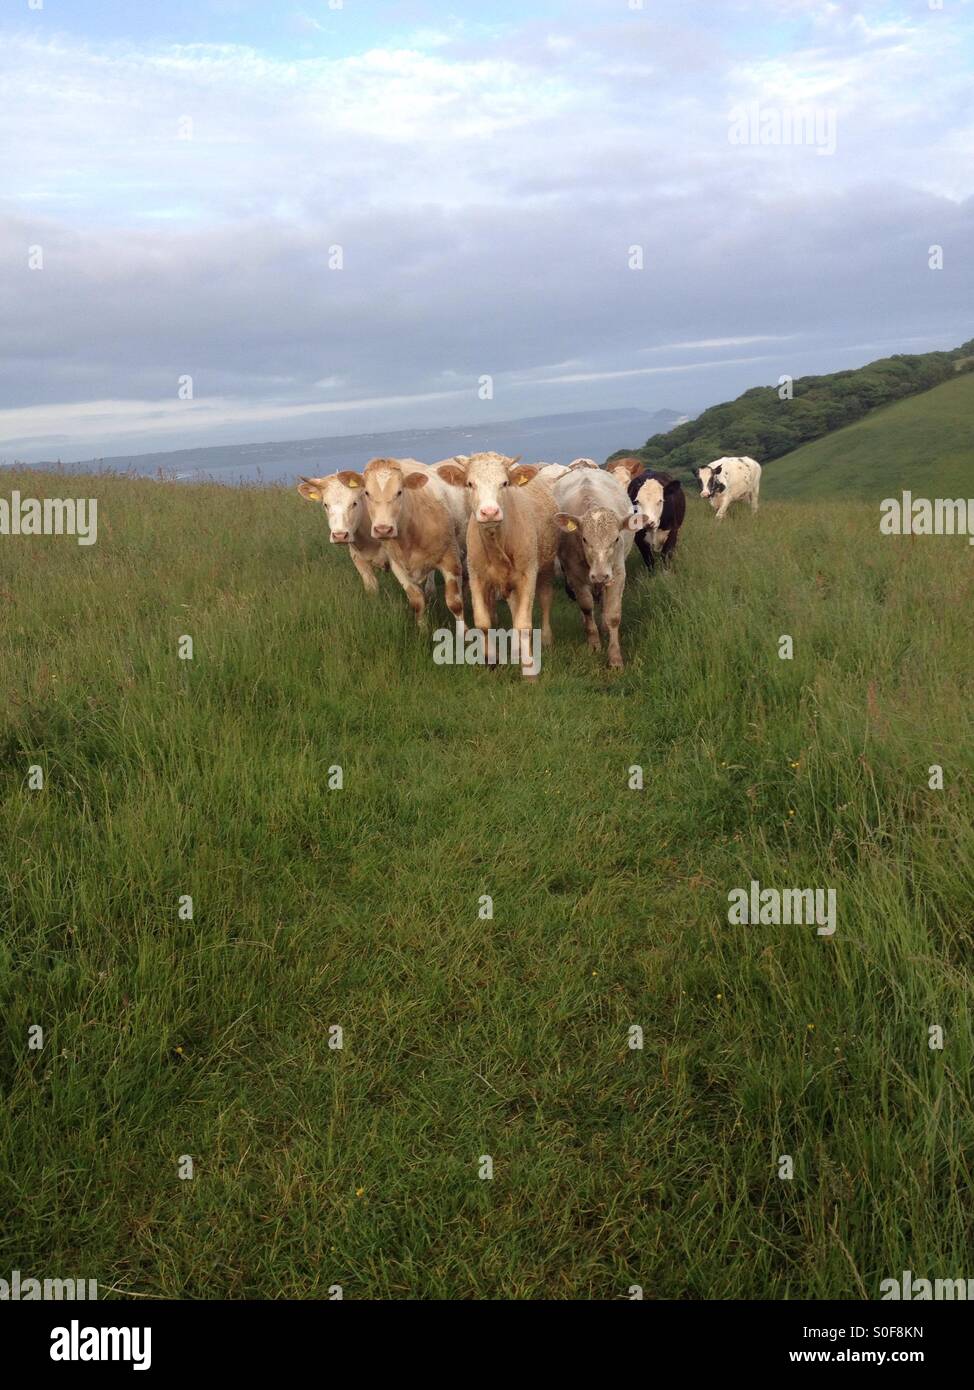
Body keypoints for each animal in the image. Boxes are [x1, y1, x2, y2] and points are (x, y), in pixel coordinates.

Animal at [333, 457, 465, 628]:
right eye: (367, 493)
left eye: (399, 492)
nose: (383, 529)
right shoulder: (398, 567)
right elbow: (417, 602)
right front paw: (422, 630)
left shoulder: (451, 560)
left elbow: (455, 604)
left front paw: (465, 633)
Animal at [435, 452, 558, 679]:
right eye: (470, 483)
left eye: (504, 483)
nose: (490, 512)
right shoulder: (476, 576)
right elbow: (483, 622)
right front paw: (492, 661)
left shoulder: (528, 574)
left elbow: (524, 624)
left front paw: (529, 669)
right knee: (514, 606)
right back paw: (517, 649)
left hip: (545, 566)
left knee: (545, 599)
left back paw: (545, 638)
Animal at [552, 468, 648, 670]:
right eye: (584, 539)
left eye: (616, 539)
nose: (600, 576)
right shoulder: (575, 576)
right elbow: (586, 608)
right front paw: (594, 644)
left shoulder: (617, 574)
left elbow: (613, 615)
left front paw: (615, 658)